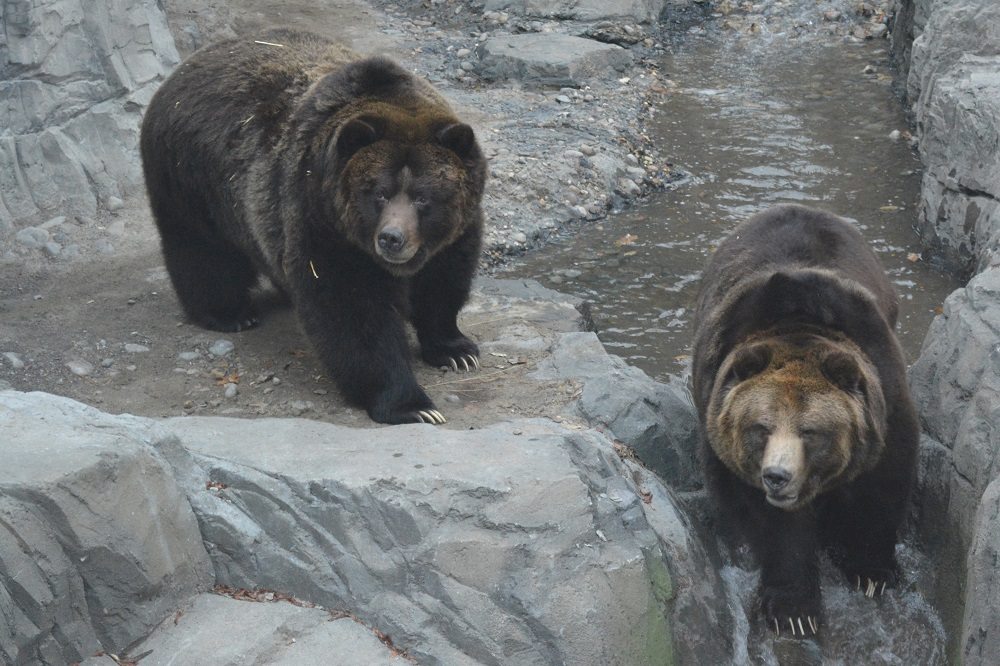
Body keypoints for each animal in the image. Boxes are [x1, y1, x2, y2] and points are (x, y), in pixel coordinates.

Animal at [140, 29, 486, 425]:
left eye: (422, 198)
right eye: (379, 193)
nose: (391, 239)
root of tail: (180, 71)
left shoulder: (454, 233)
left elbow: (443, 282)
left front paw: (457, 350)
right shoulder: (323, 222)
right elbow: (353, 314)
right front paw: (412, 404)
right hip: (191, 178)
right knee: (203, 253)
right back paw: (230, 314)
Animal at [690, 204, 919, 637]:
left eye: (811, 431)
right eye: (760, 427)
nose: (777, 476)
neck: (797, 326)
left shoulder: (885, 398)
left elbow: (883, 484)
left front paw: (871, 571)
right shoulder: (726, 437)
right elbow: (772, 524)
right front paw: (794, 609)